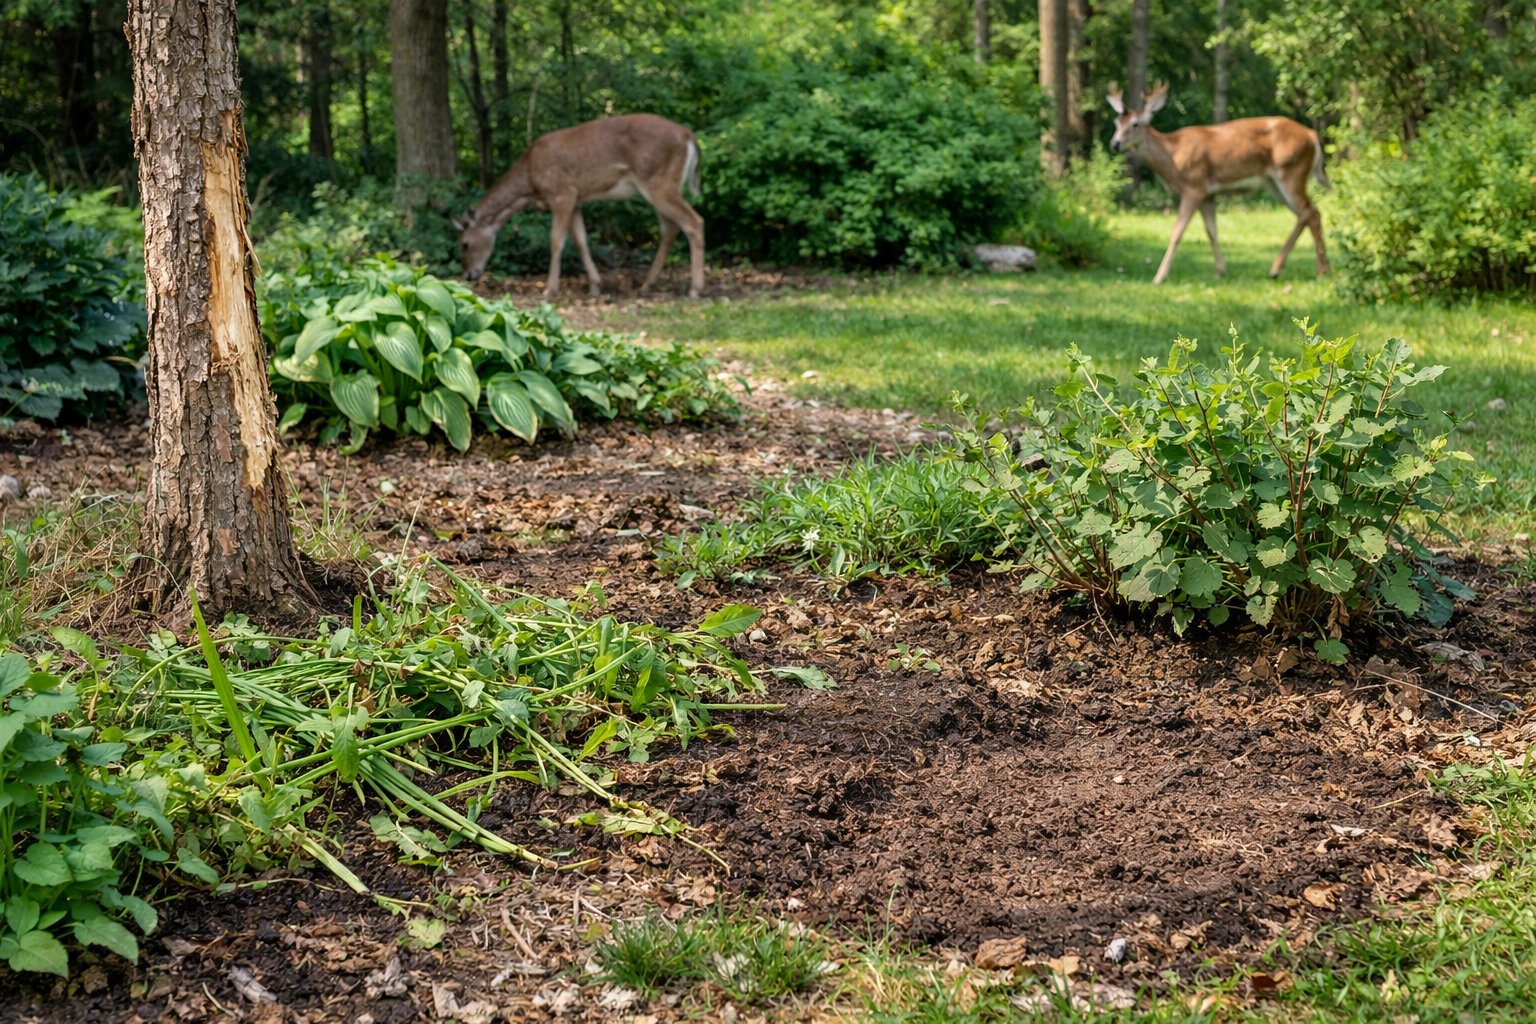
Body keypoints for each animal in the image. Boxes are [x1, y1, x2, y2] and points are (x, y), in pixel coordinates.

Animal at [454, 113, 705, 300]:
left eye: (465, 243)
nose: (468, 275)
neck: (530, 182)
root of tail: (689, 136)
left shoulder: (562, 194)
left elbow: (556, 241)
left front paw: (549, 289)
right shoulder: (575, 200)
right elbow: (580, 241)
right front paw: (595, 286)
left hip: (659, 182)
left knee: (694, 222)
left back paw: (695, 289)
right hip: (657, 186)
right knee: (670, 228)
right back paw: (646, 286)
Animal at [1106, 83, 1330, 285]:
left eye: (1135, 124)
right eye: (1117, 122)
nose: (1114, 144)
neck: (1172, 156)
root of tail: (1312, 136)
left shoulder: (1194, 186)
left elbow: (1177, 231)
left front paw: (1159, 277)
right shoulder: (1208, 194)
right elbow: (1212, 231)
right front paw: (1221, 271)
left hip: (1291, 171)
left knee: (1309, 211)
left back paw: (1307, 271)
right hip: (1274, 182)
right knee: (1310, 212)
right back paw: (1305, 269)